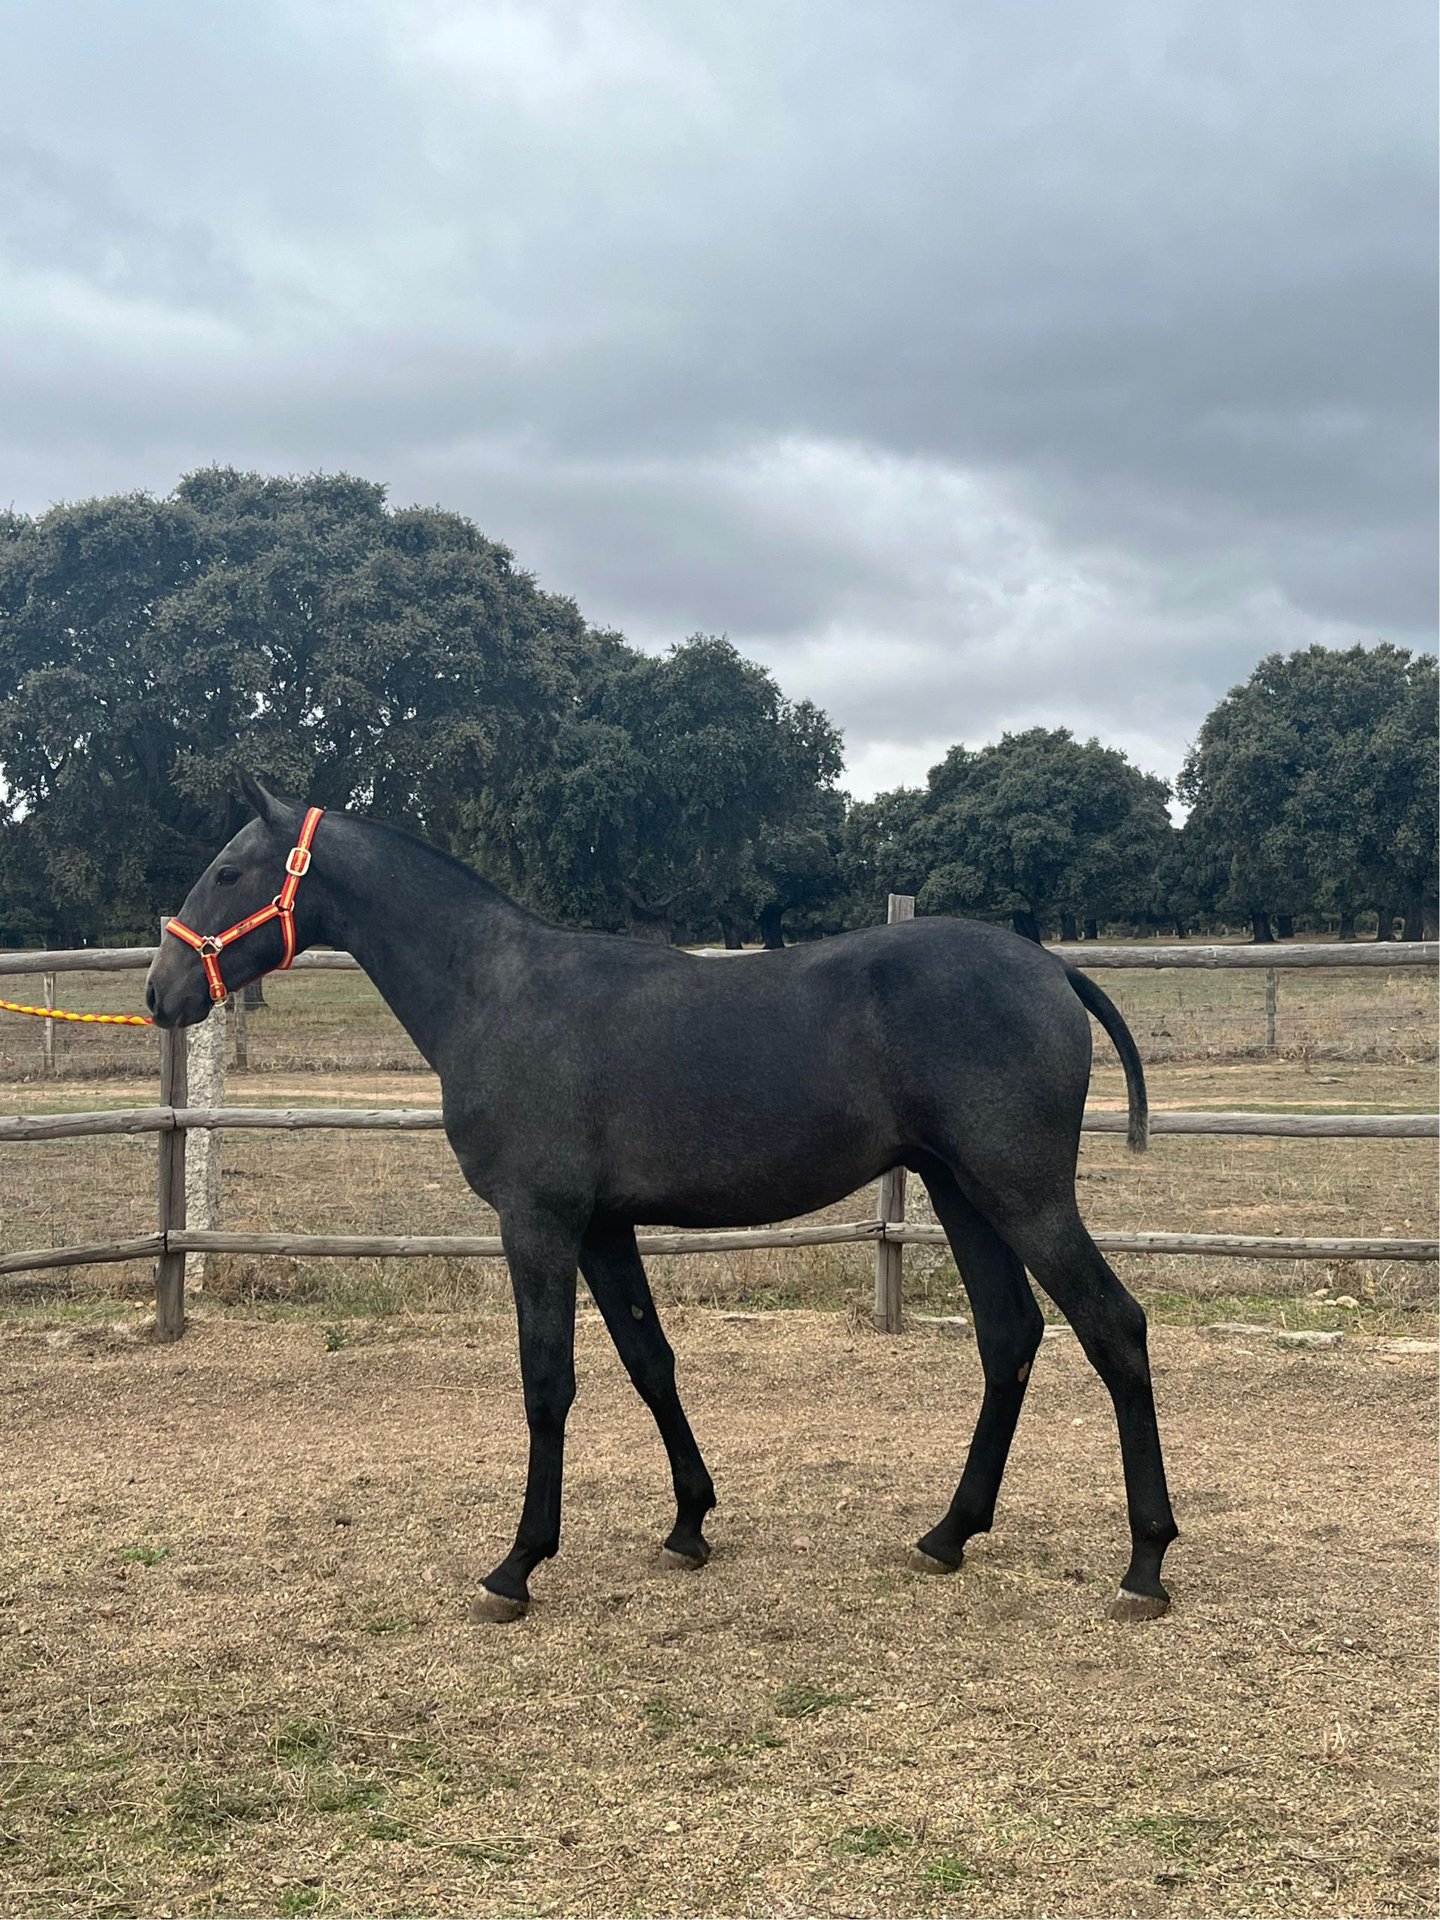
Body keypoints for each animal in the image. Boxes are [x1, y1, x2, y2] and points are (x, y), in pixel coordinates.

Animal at [145, 776, 1178, 1624]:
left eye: (228, 870)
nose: (160, 990)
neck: (497, 992)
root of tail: (1051, 967)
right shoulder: (604, 1228)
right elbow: (650, 1362)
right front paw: (689, 1523)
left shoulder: (539, 1223)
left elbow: (547, 1382)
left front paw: (518, 1565)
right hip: (962, 1193)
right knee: (1010, 1337)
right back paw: (949, 1534)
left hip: (1023, 1195)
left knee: (1113, 1327)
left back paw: (1145, 1565)